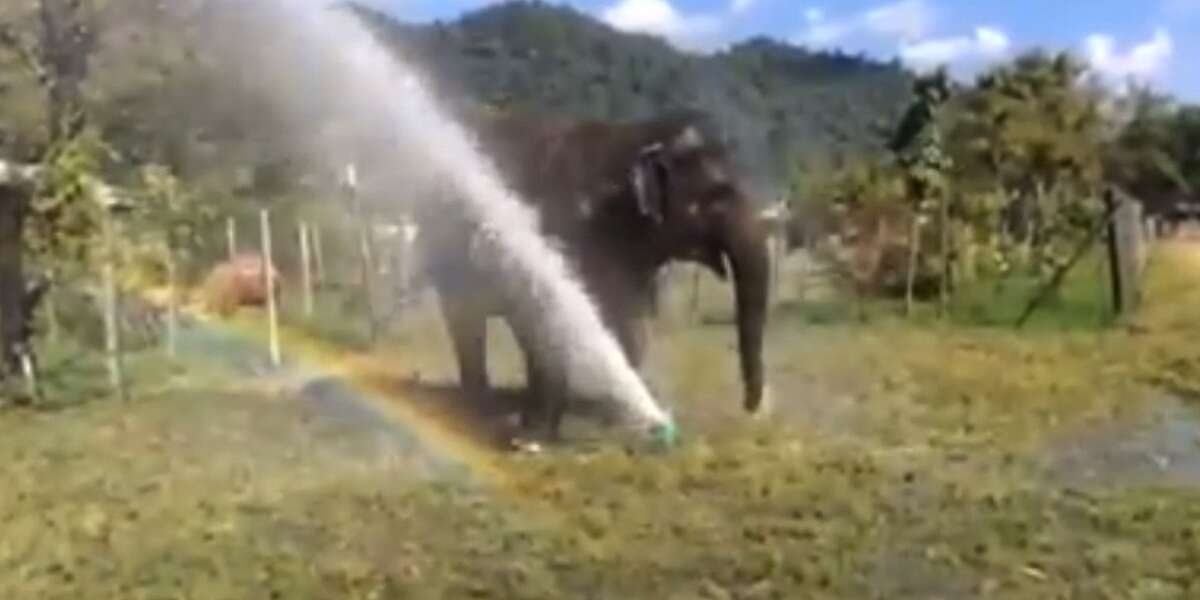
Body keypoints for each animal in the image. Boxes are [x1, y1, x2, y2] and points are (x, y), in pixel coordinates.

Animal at [415, 109, 770, 444]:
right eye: (718, 196)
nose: (751, 408)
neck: (640, 136)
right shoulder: (560, 237)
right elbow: (549, 319)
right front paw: (533, 435)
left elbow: (631, 325)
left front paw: (617, 423)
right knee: (466, 320)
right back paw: (477, 406)